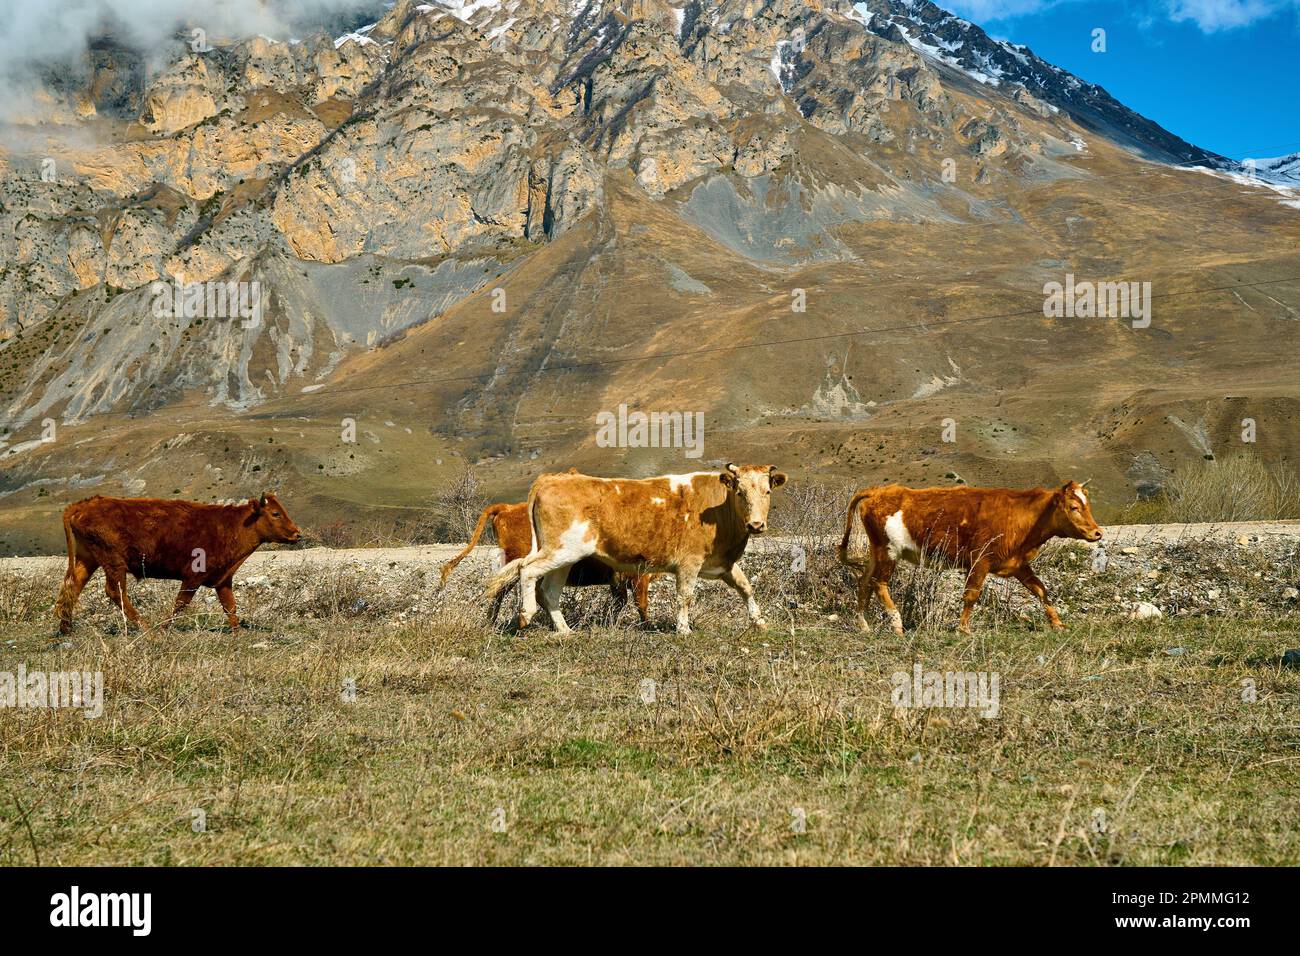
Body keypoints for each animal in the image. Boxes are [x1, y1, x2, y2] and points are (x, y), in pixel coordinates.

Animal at [54, 492, 301, 635]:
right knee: (115, 592)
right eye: (276, 513)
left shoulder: (223, 580)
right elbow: (181, 604)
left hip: (88, 559)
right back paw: (147, 629)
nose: (297, 533)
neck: (232, 526)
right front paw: (164, 629)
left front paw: (238, 633)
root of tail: (83, 505)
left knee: (72, 587)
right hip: (114, 562)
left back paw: (66, 629)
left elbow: (230, 606)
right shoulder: (193, 577)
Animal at [439, 501, 655, 623]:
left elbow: (620, 601)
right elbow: (640, 603)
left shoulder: (617, 579)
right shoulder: (639, 575)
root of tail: (507, 507)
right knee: (507, 591)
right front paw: (647, 626)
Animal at [485, 464, 787, 634]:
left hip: (565, 558)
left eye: (767, 491)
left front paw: (759, 622)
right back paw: (525, 616)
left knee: (548, 590)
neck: (718, 509)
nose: (756, 524)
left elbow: (745, 587)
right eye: (740, 492)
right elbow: (685, 597)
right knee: (527, 569)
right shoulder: (688, 563)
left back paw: (564, 630)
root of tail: (552, 479)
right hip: (559, 550)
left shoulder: (723, 563)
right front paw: (683, 629)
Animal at [836, 480, 1102, 635]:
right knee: (879, 583)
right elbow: (971, 595)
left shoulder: (1018, 564)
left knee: (864, 582)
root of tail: (880, 491)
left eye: (1087, 505)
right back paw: (896, 624)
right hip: (889, 551)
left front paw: (1057, 623)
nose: (1097, 533)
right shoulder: (979, 561)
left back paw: (864, 625)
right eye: (1074, 507)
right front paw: (963, 630)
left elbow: (1040, 590)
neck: (1022, 516)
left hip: (876, 550)